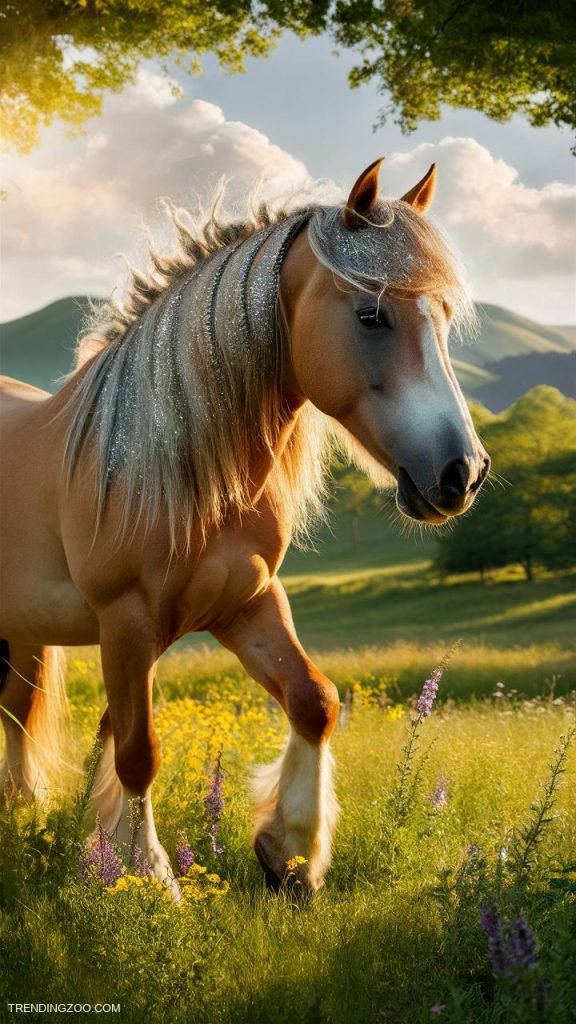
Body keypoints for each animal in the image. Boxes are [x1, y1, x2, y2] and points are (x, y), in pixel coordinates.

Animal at [0, 158, 490, 896]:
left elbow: (314, 700)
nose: (462, 472)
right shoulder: (126, 621)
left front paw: (291, 852)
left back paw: (25, 814)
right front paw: (151, 878)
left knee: (14, 714)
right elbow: (138, 750)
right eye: (371, 314)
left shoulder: (246, 601)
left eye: (444, 317)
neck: (168, 464)